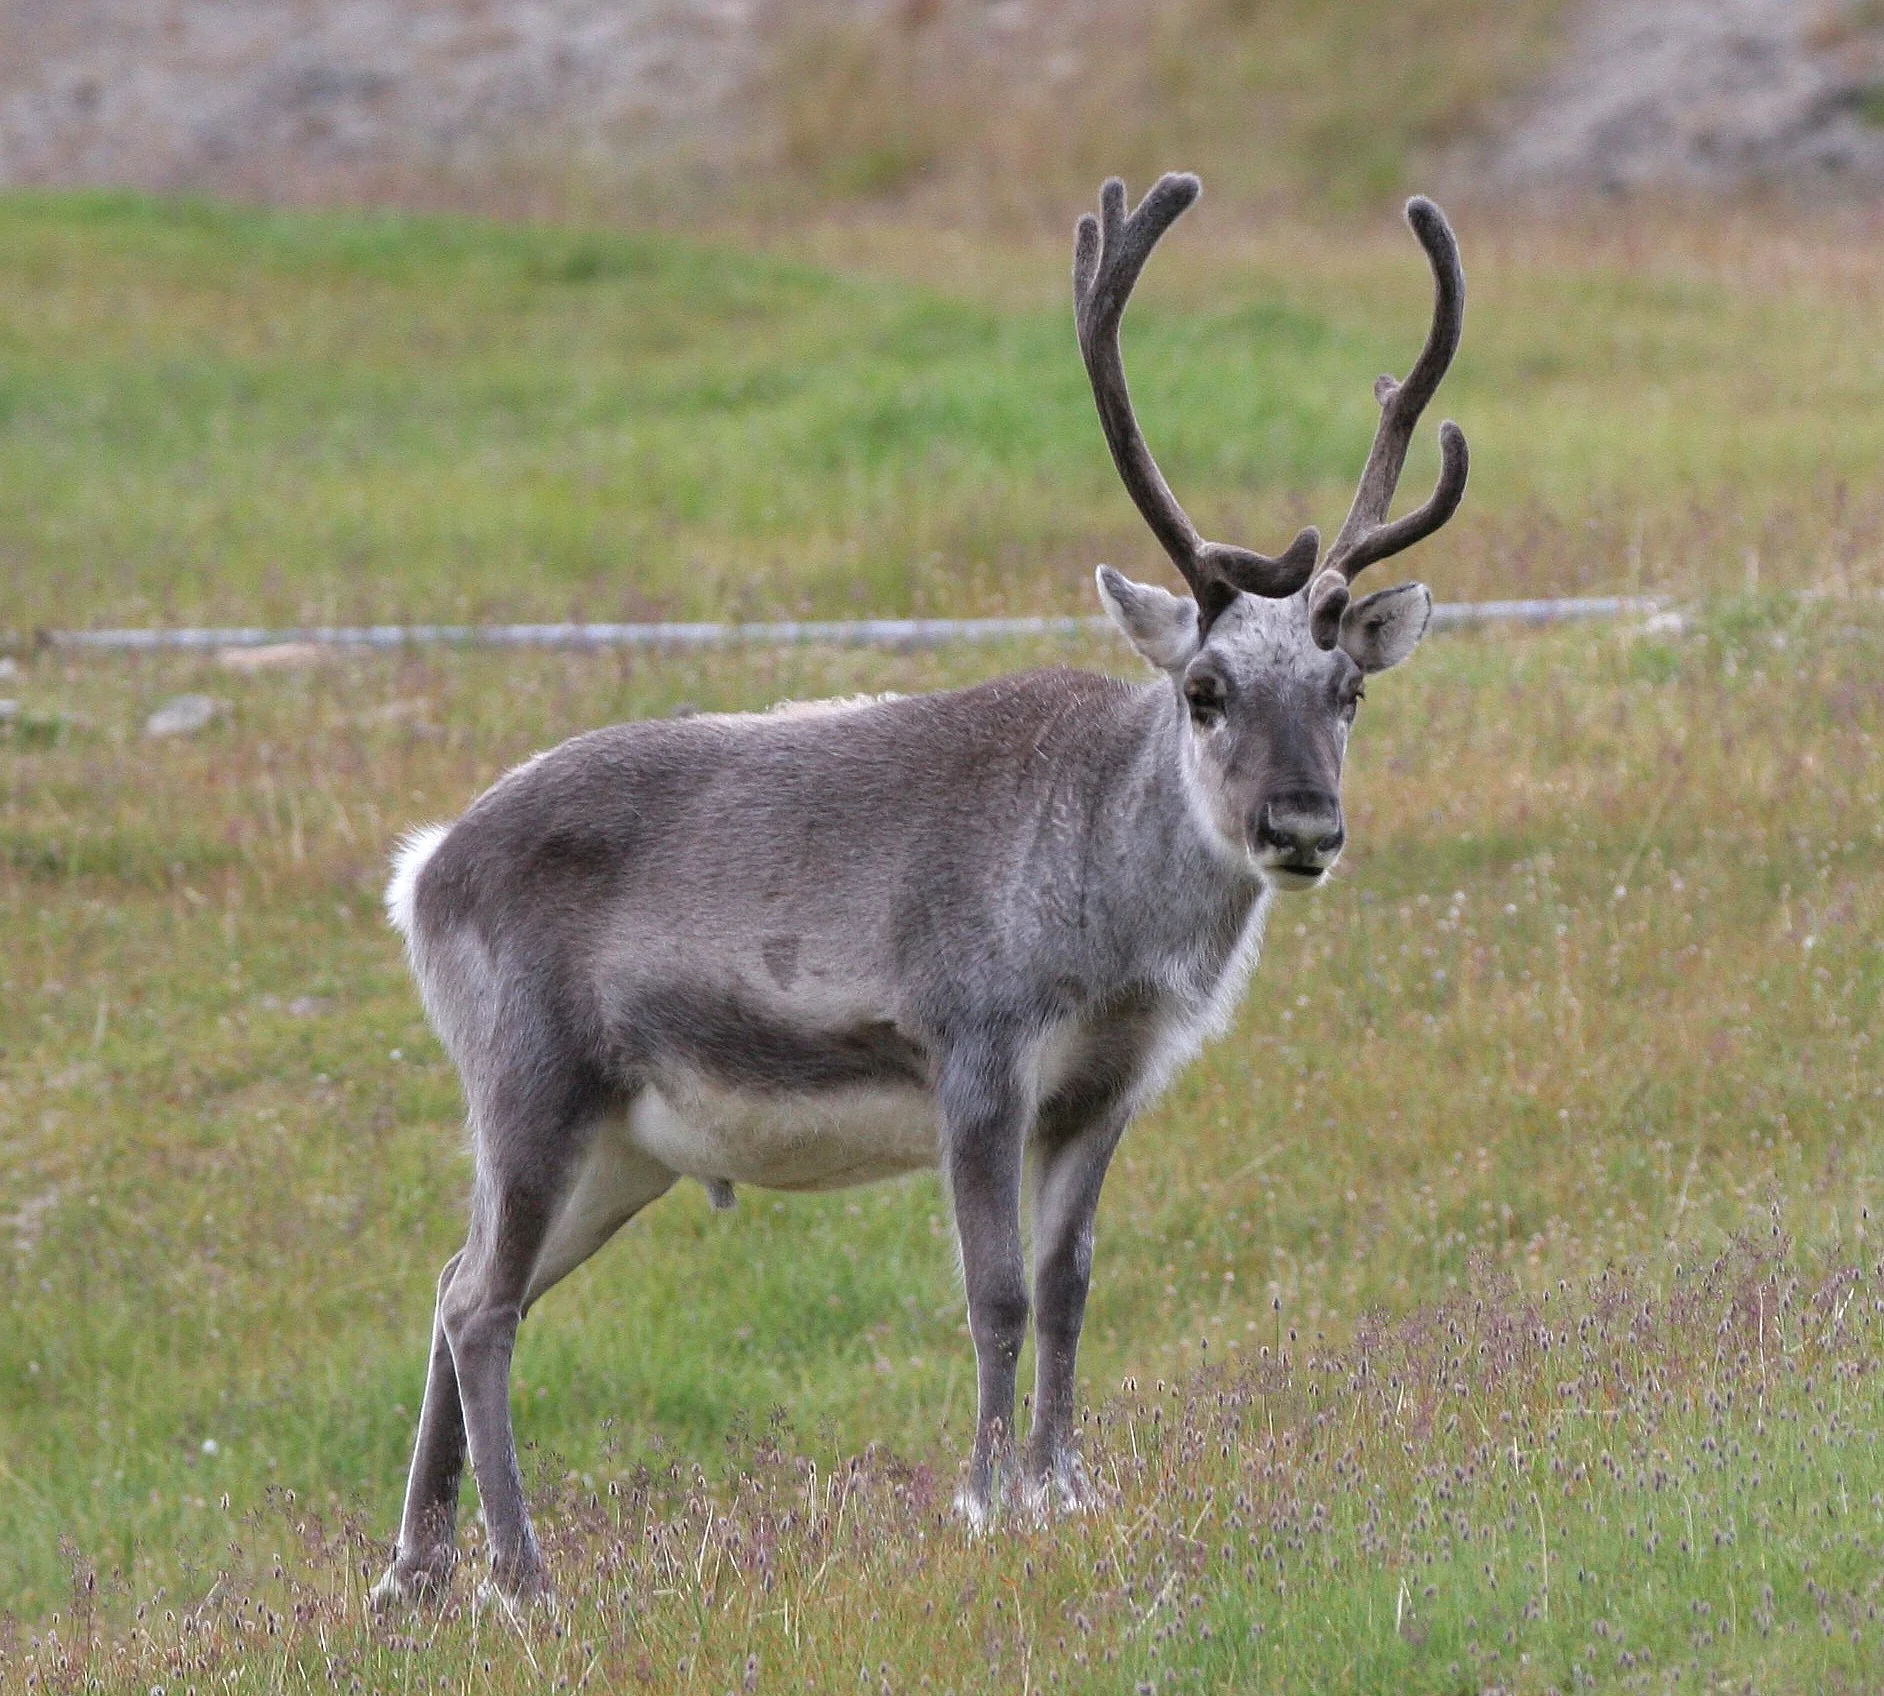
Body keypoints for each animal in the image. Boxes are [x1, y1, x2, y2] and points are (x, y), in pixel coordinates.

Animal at [370, 172, 1467, 1609]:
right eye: (1204, 688)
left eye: (1348, 692)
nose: (1303, 826)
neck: (1114, 936)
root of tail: (424, 869)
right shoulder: (976, 1055)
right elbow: (994, 1293)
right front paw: (987, 1496)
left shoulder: (1105, 1088)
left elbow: (1070, 1285)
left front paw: (1068, 1488)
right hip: (529, 1088)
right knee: (480, 1306)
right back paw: (522, 1574)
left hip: (622, 1146)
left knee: (452, 1283)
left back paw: (416, 1574)